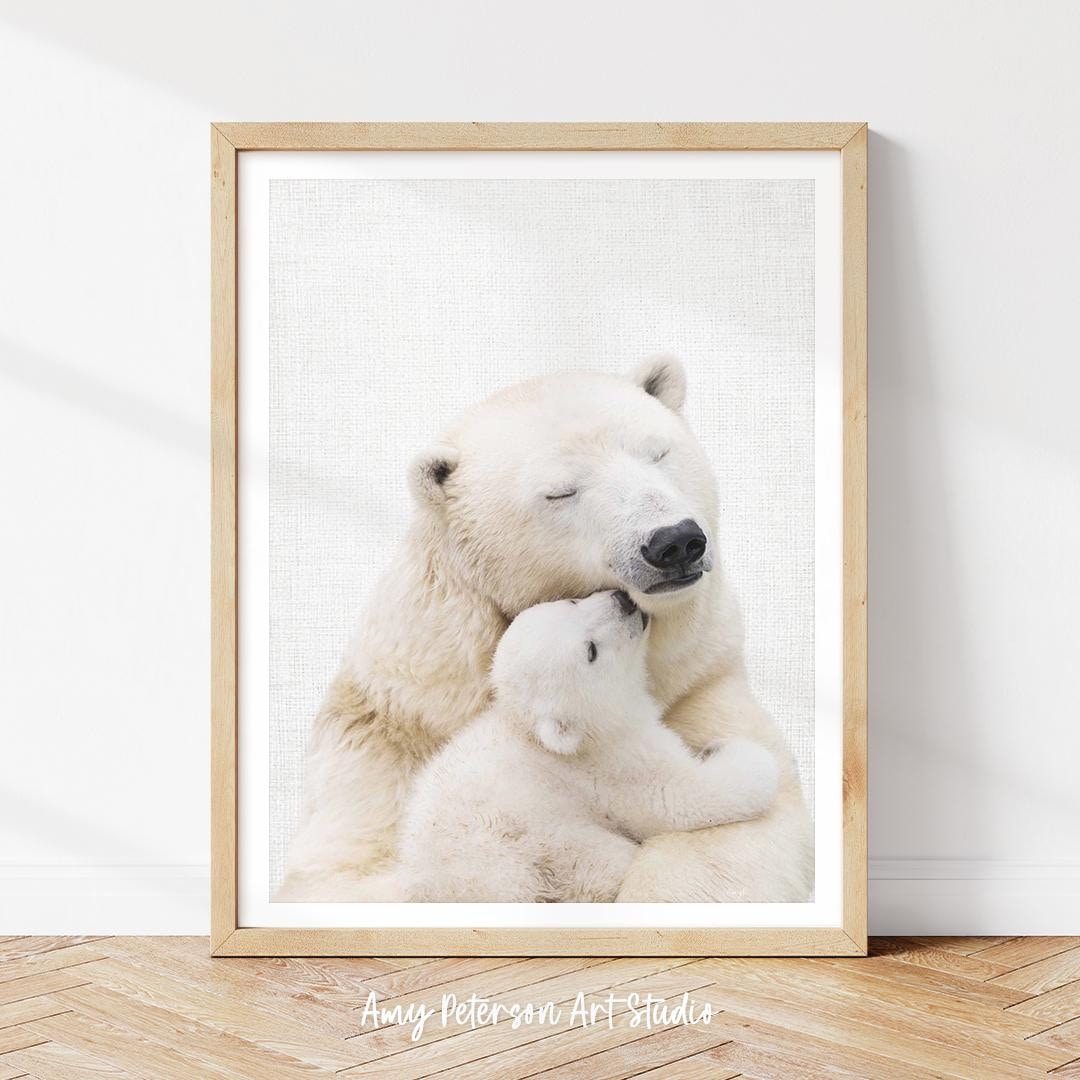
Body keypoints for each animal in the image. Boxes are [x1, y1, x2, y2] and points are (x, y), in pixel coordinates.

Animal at [399, 589, 781, 902]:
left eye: (571, 601)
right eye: (591, 652)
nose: (624, 601)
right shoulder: (611, 764)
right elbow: (680, 798)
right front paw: (733, 752)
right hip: (530, 845)